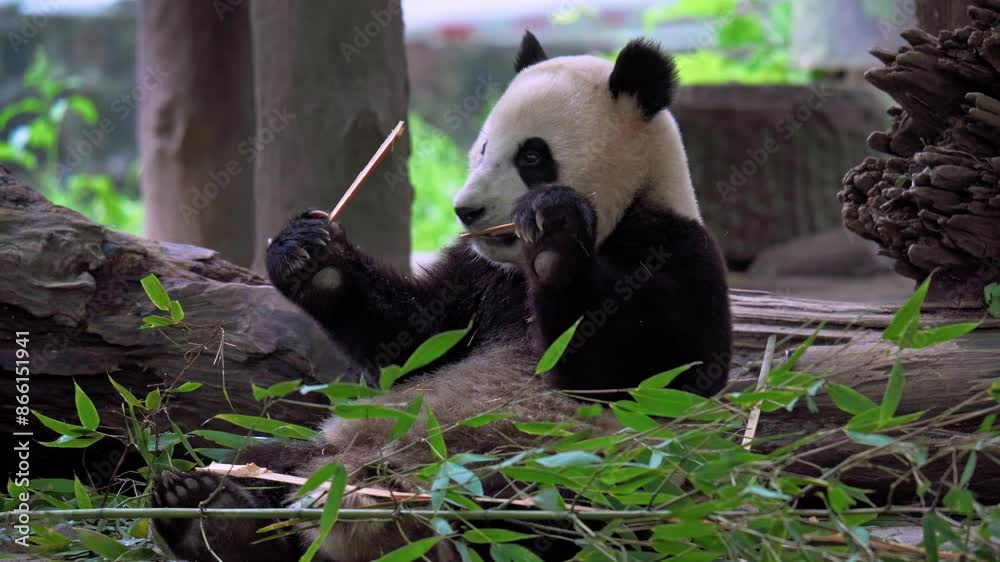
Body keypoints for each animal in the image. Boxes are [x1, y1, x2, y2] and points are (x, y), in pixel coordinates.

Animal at [151, 32, 731, 562]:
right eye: (483, 147)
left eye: (532, 155)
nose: (465, 210)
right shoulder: (476, 276)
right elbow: (412, 343)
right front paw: (310, 255)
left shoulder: (673, 247)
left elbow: (653, 369)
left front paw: (555, 232)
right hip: (324, 449)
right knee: (266, 460)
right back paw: (209, 511)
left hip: (572, 473)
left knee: (538, 517)